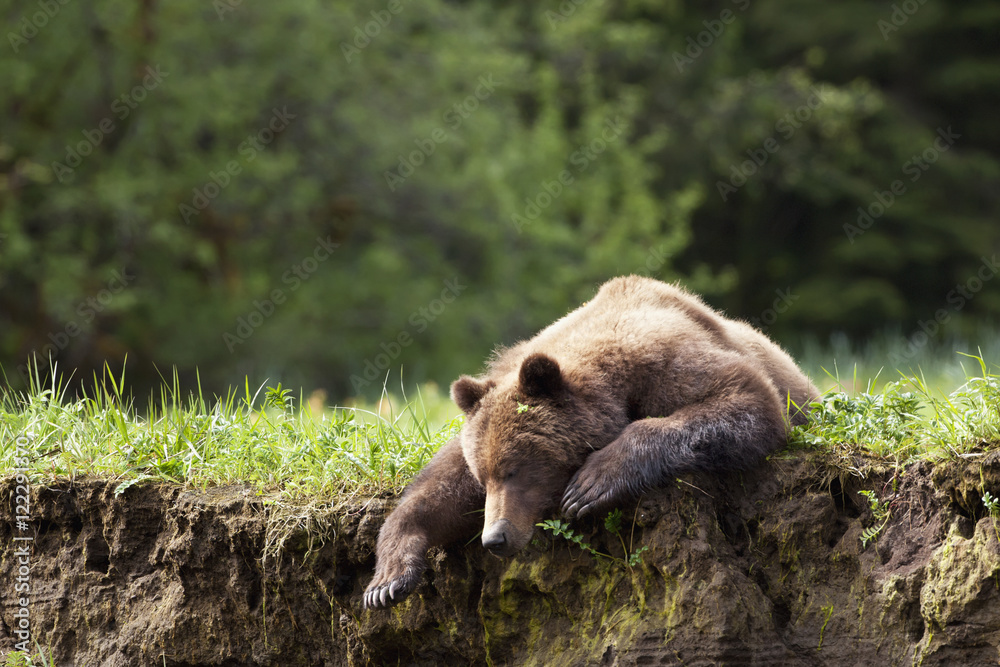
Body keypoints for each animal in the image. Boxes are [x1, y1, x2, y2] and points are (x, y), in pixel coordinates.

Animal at [363, 276, 818, 609]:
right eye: (485, 476)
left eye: (515, 470)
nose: (495, 539)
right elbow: (439, 487)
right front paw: (385, 583)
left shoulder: (670, 362)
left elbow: (745, 401)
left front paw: (591, 484)